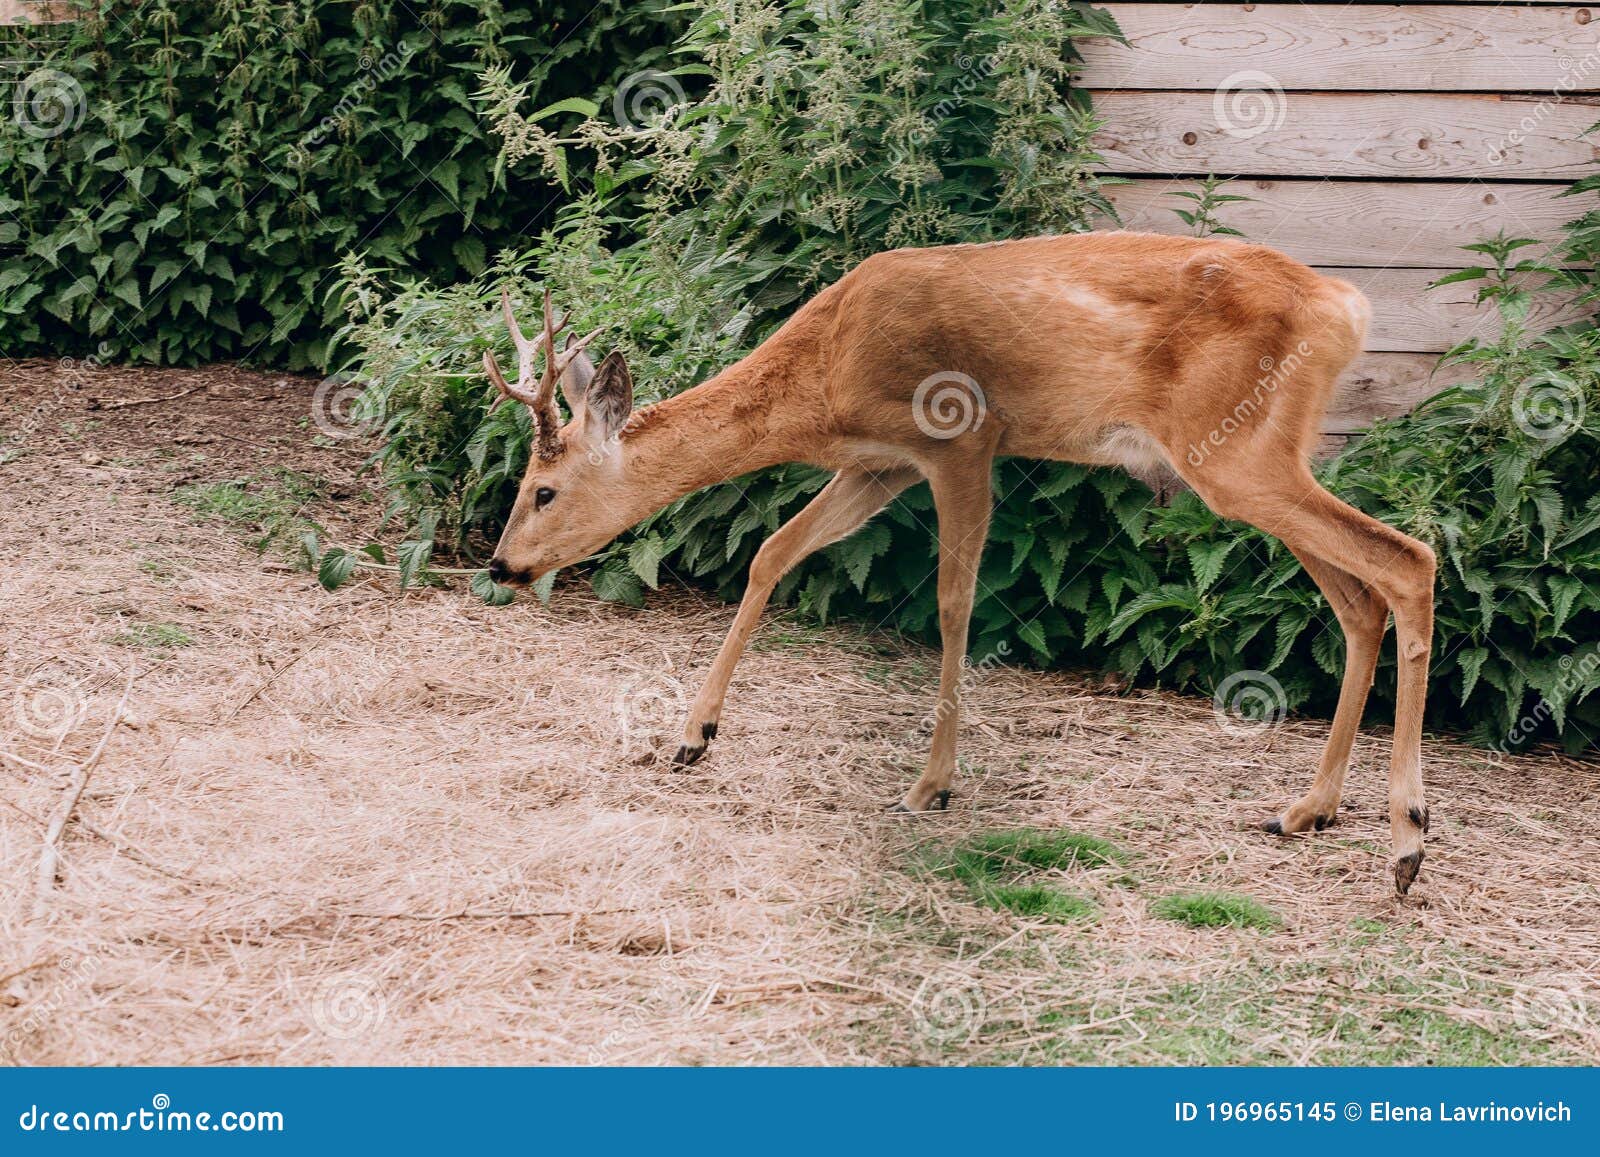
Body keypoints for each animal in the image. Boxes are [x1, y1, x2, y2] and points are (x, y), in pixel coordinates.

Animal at [483, 231, 1436, 895]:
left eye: (542, 489)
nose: (499, 566)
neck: (825, 370)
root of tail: (1346, 305)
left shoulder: (961, 441)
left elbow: (952, 601)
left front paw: (930, 785)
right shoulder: (879, 464)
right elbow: (770, 552)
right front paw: (692, 735)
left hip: (1236, 454)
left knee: (1408, 559)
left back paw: (1406, 841)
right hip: (1257, 458)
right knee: (1359, 598)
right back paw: (1308, 809)